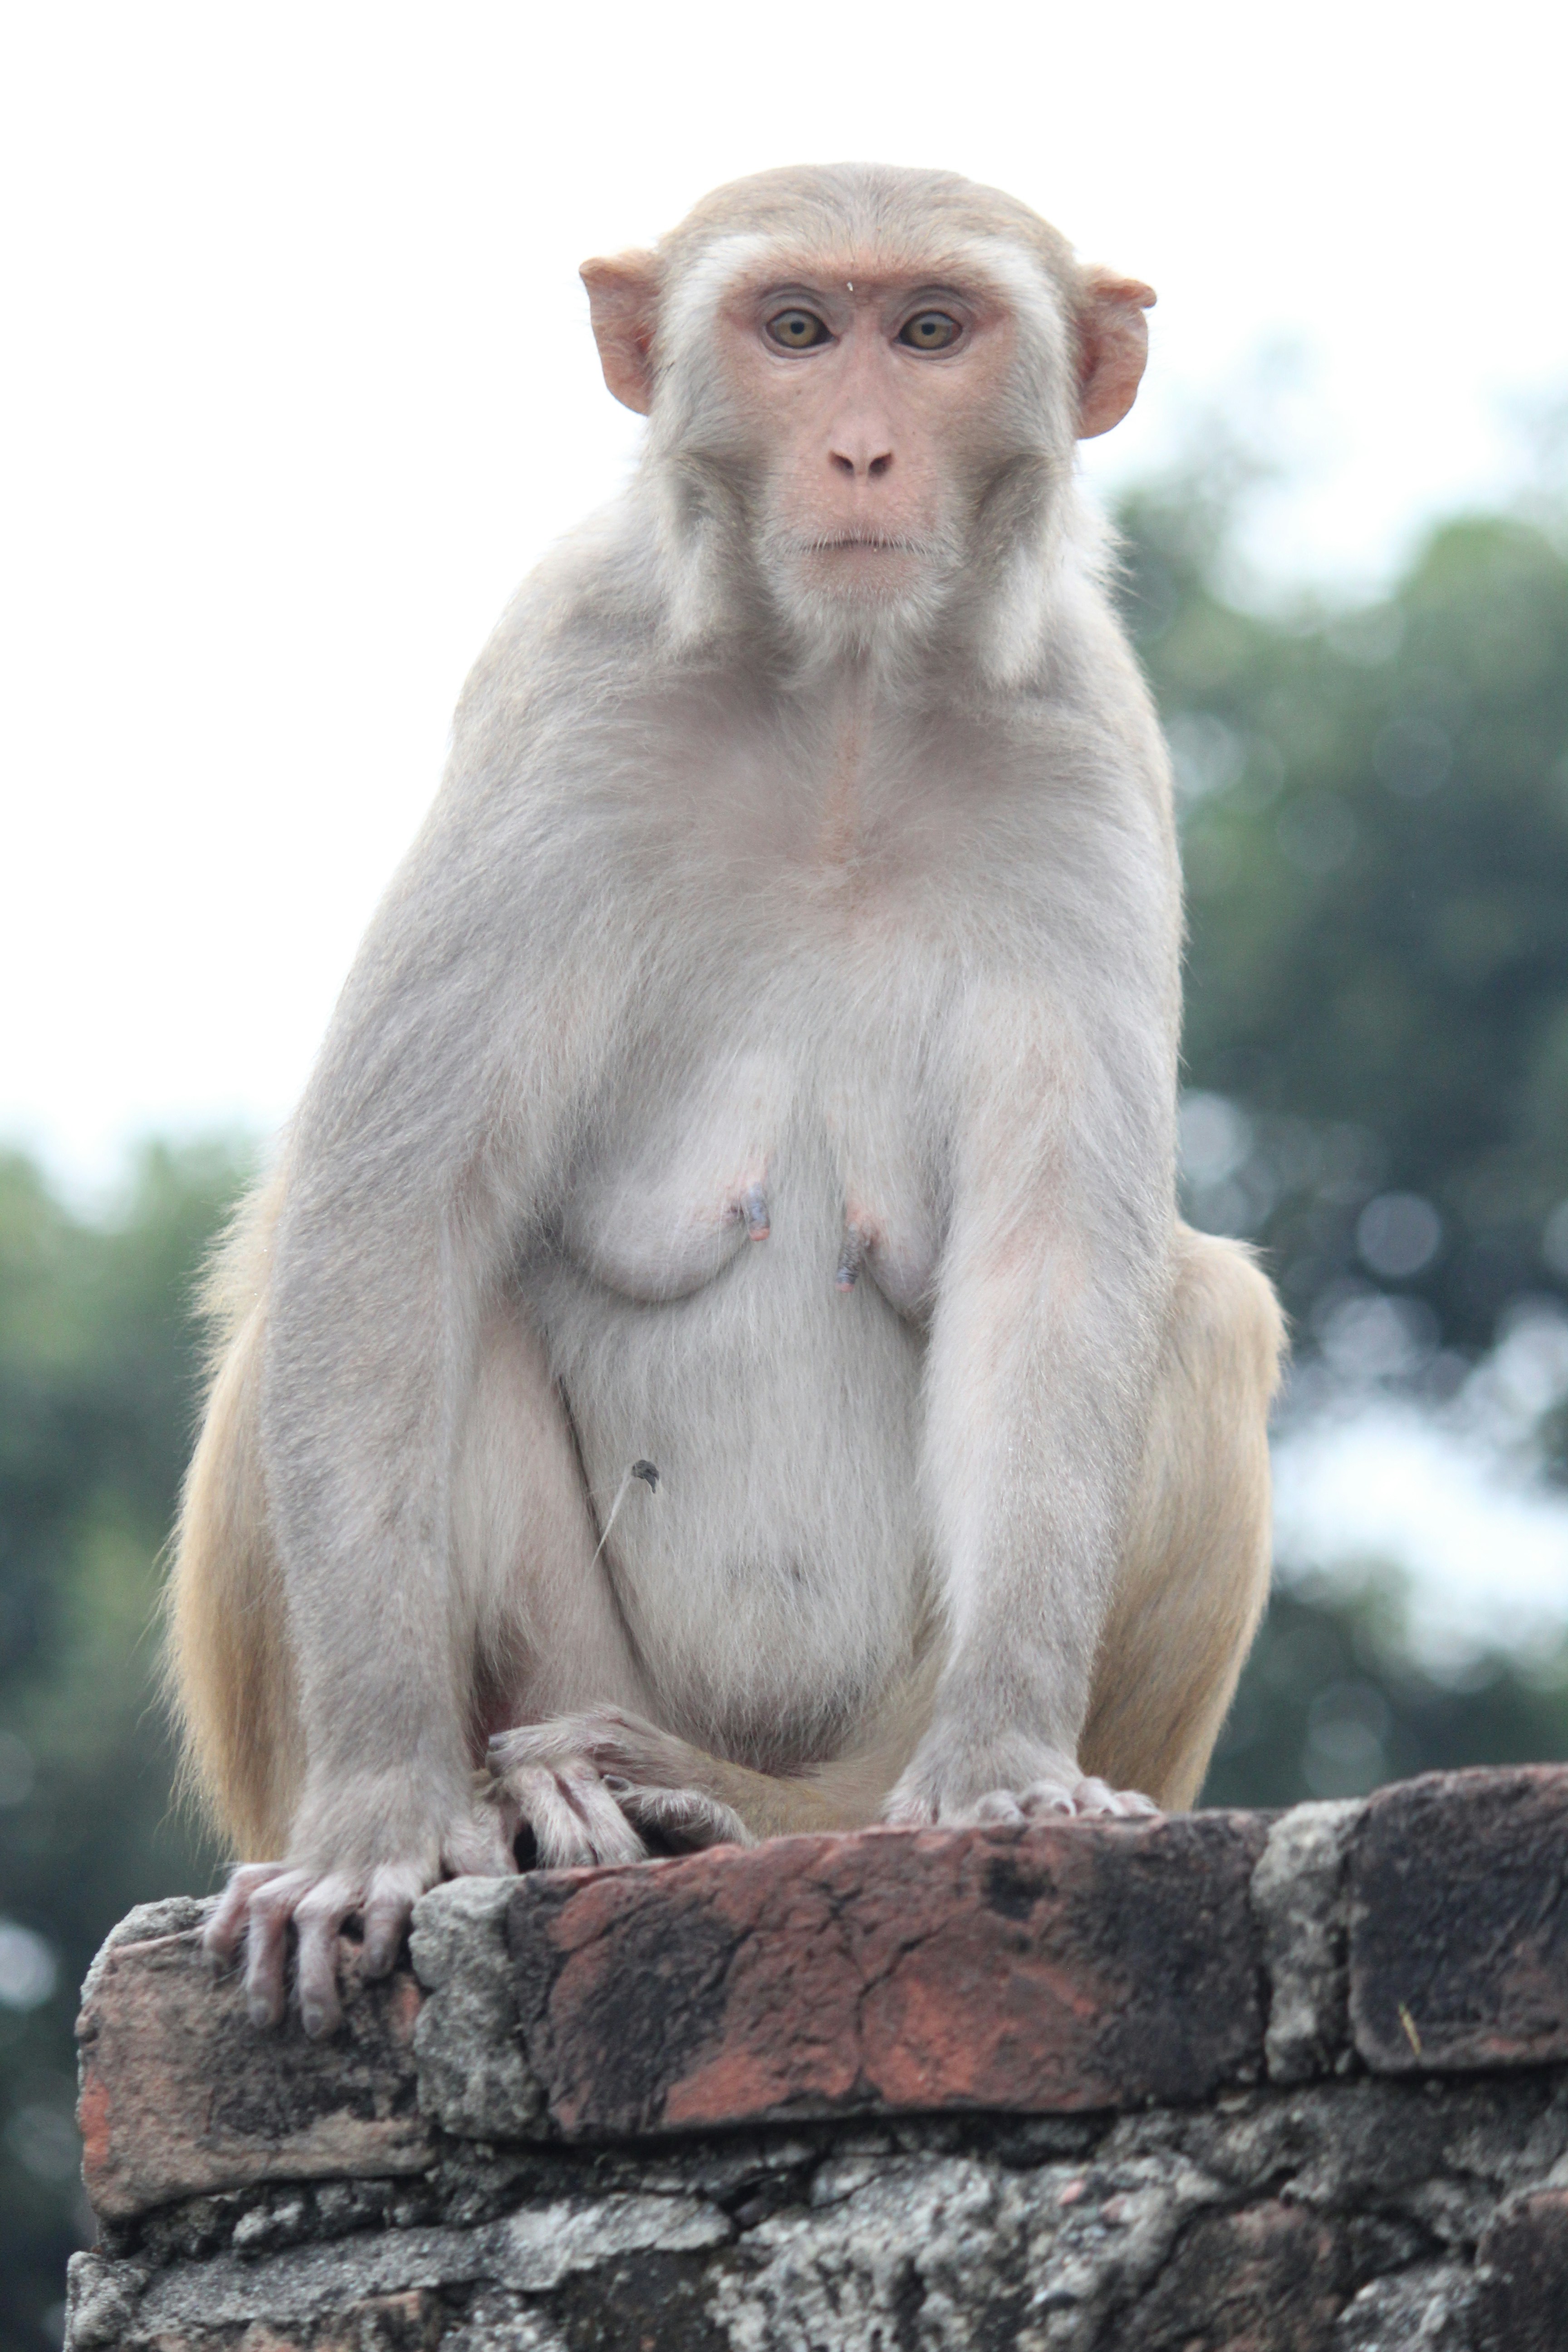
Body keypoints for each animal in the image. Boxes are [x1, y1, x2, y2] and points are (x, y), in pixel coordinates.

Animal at [170, 164, 1285, 2039]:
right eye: (796, 328)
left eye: (931, 330)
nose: (858, 450)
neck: (841, 694)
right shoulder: (566, 686)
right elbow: (388, 1213)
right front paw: (382, 1812)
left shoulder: (1081, 740)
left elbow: (1057, 1269)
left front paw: (1005, 1762)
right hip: (552, 1670)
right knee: (382, 1282)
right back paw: (543, 1803)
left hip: (852, 1721)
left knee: (1201, 1305)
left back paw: (731, 1811)